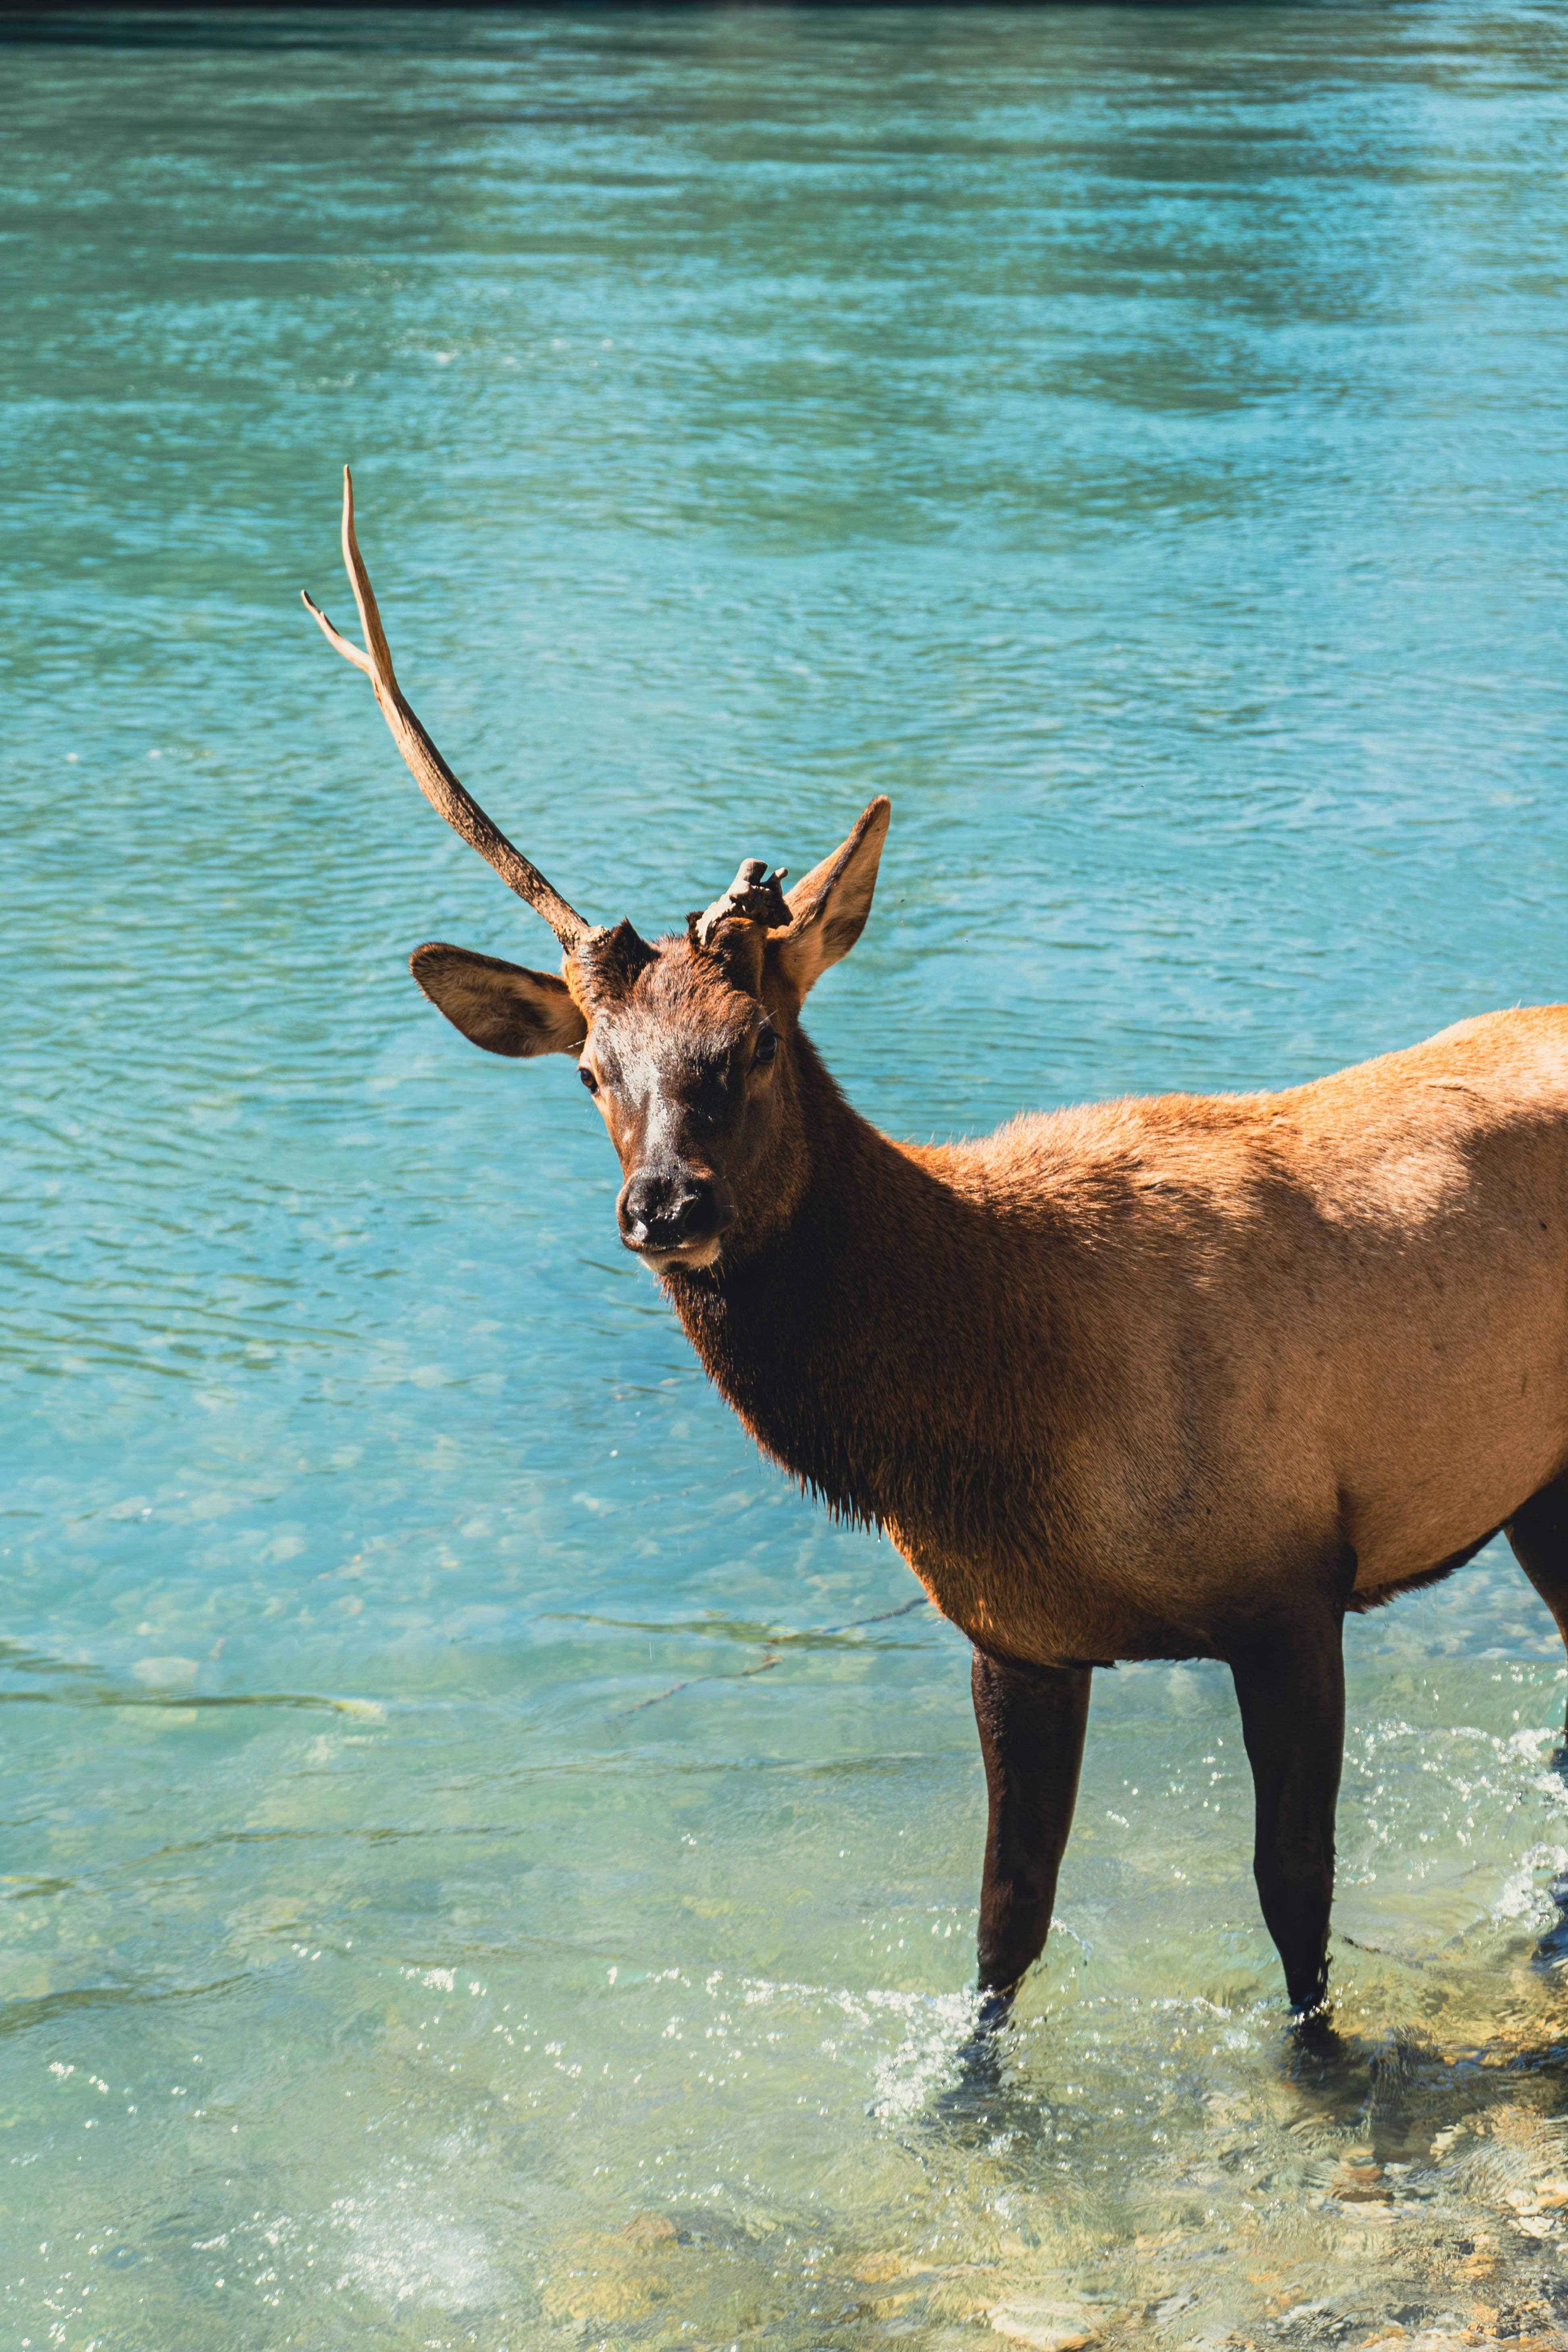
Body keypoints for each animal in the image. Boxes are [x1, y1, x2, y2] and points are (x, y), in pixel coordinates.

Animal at [305, 468, 1568, 2035]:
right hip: (1540, 1484)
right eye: (593, 1069)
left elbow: (1293, 1901)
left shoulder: (1291, 1582)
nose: (665, 1205)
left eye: (755, 1043)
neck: (1008, 1400)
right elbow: (1000, 1927)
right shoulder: (1011, 1633)